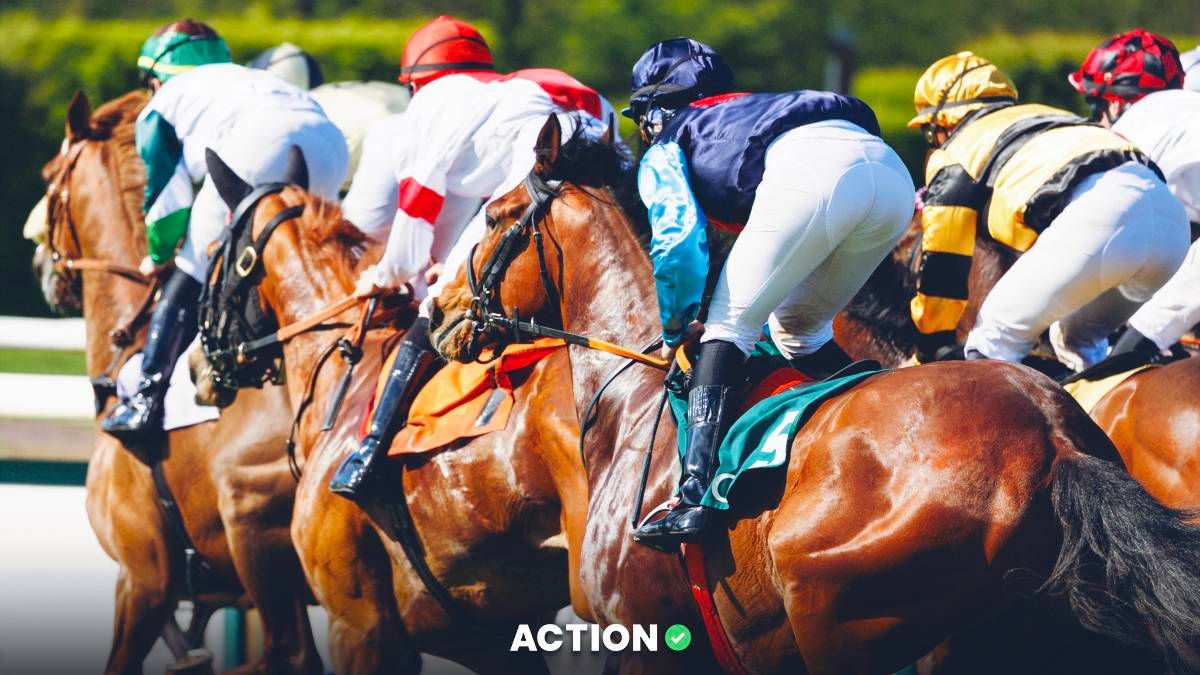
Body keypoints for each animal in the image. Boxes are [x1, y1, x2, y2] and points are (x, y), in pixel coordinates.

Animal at [36, 90, 319, 674]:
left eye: (50, 175)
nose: (39, 264)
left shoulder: (142, 579)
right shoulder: (200, 597)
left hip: (251, 522)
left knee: (293, 653)